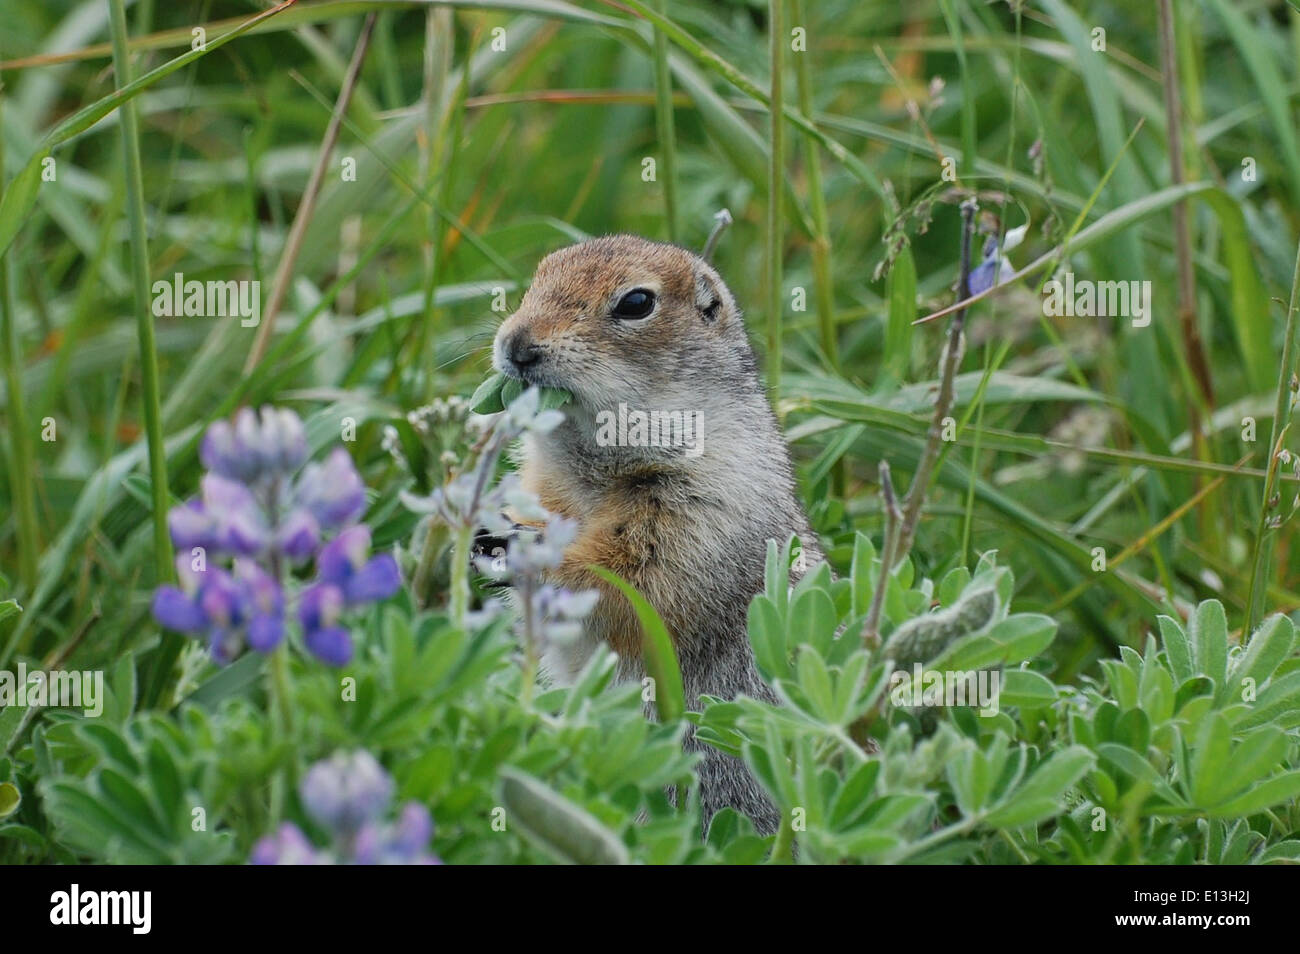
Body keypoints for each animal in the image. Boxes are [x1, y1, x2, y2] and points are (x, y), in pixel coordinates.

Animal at [488, 234, 822, 834]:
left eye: (637, 302)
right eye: (541, 272)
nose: (516, 344)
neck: (596, 469)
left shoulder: (702, 510)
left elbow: (638, 587)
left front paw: (526, 554)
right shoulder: (546, 488)